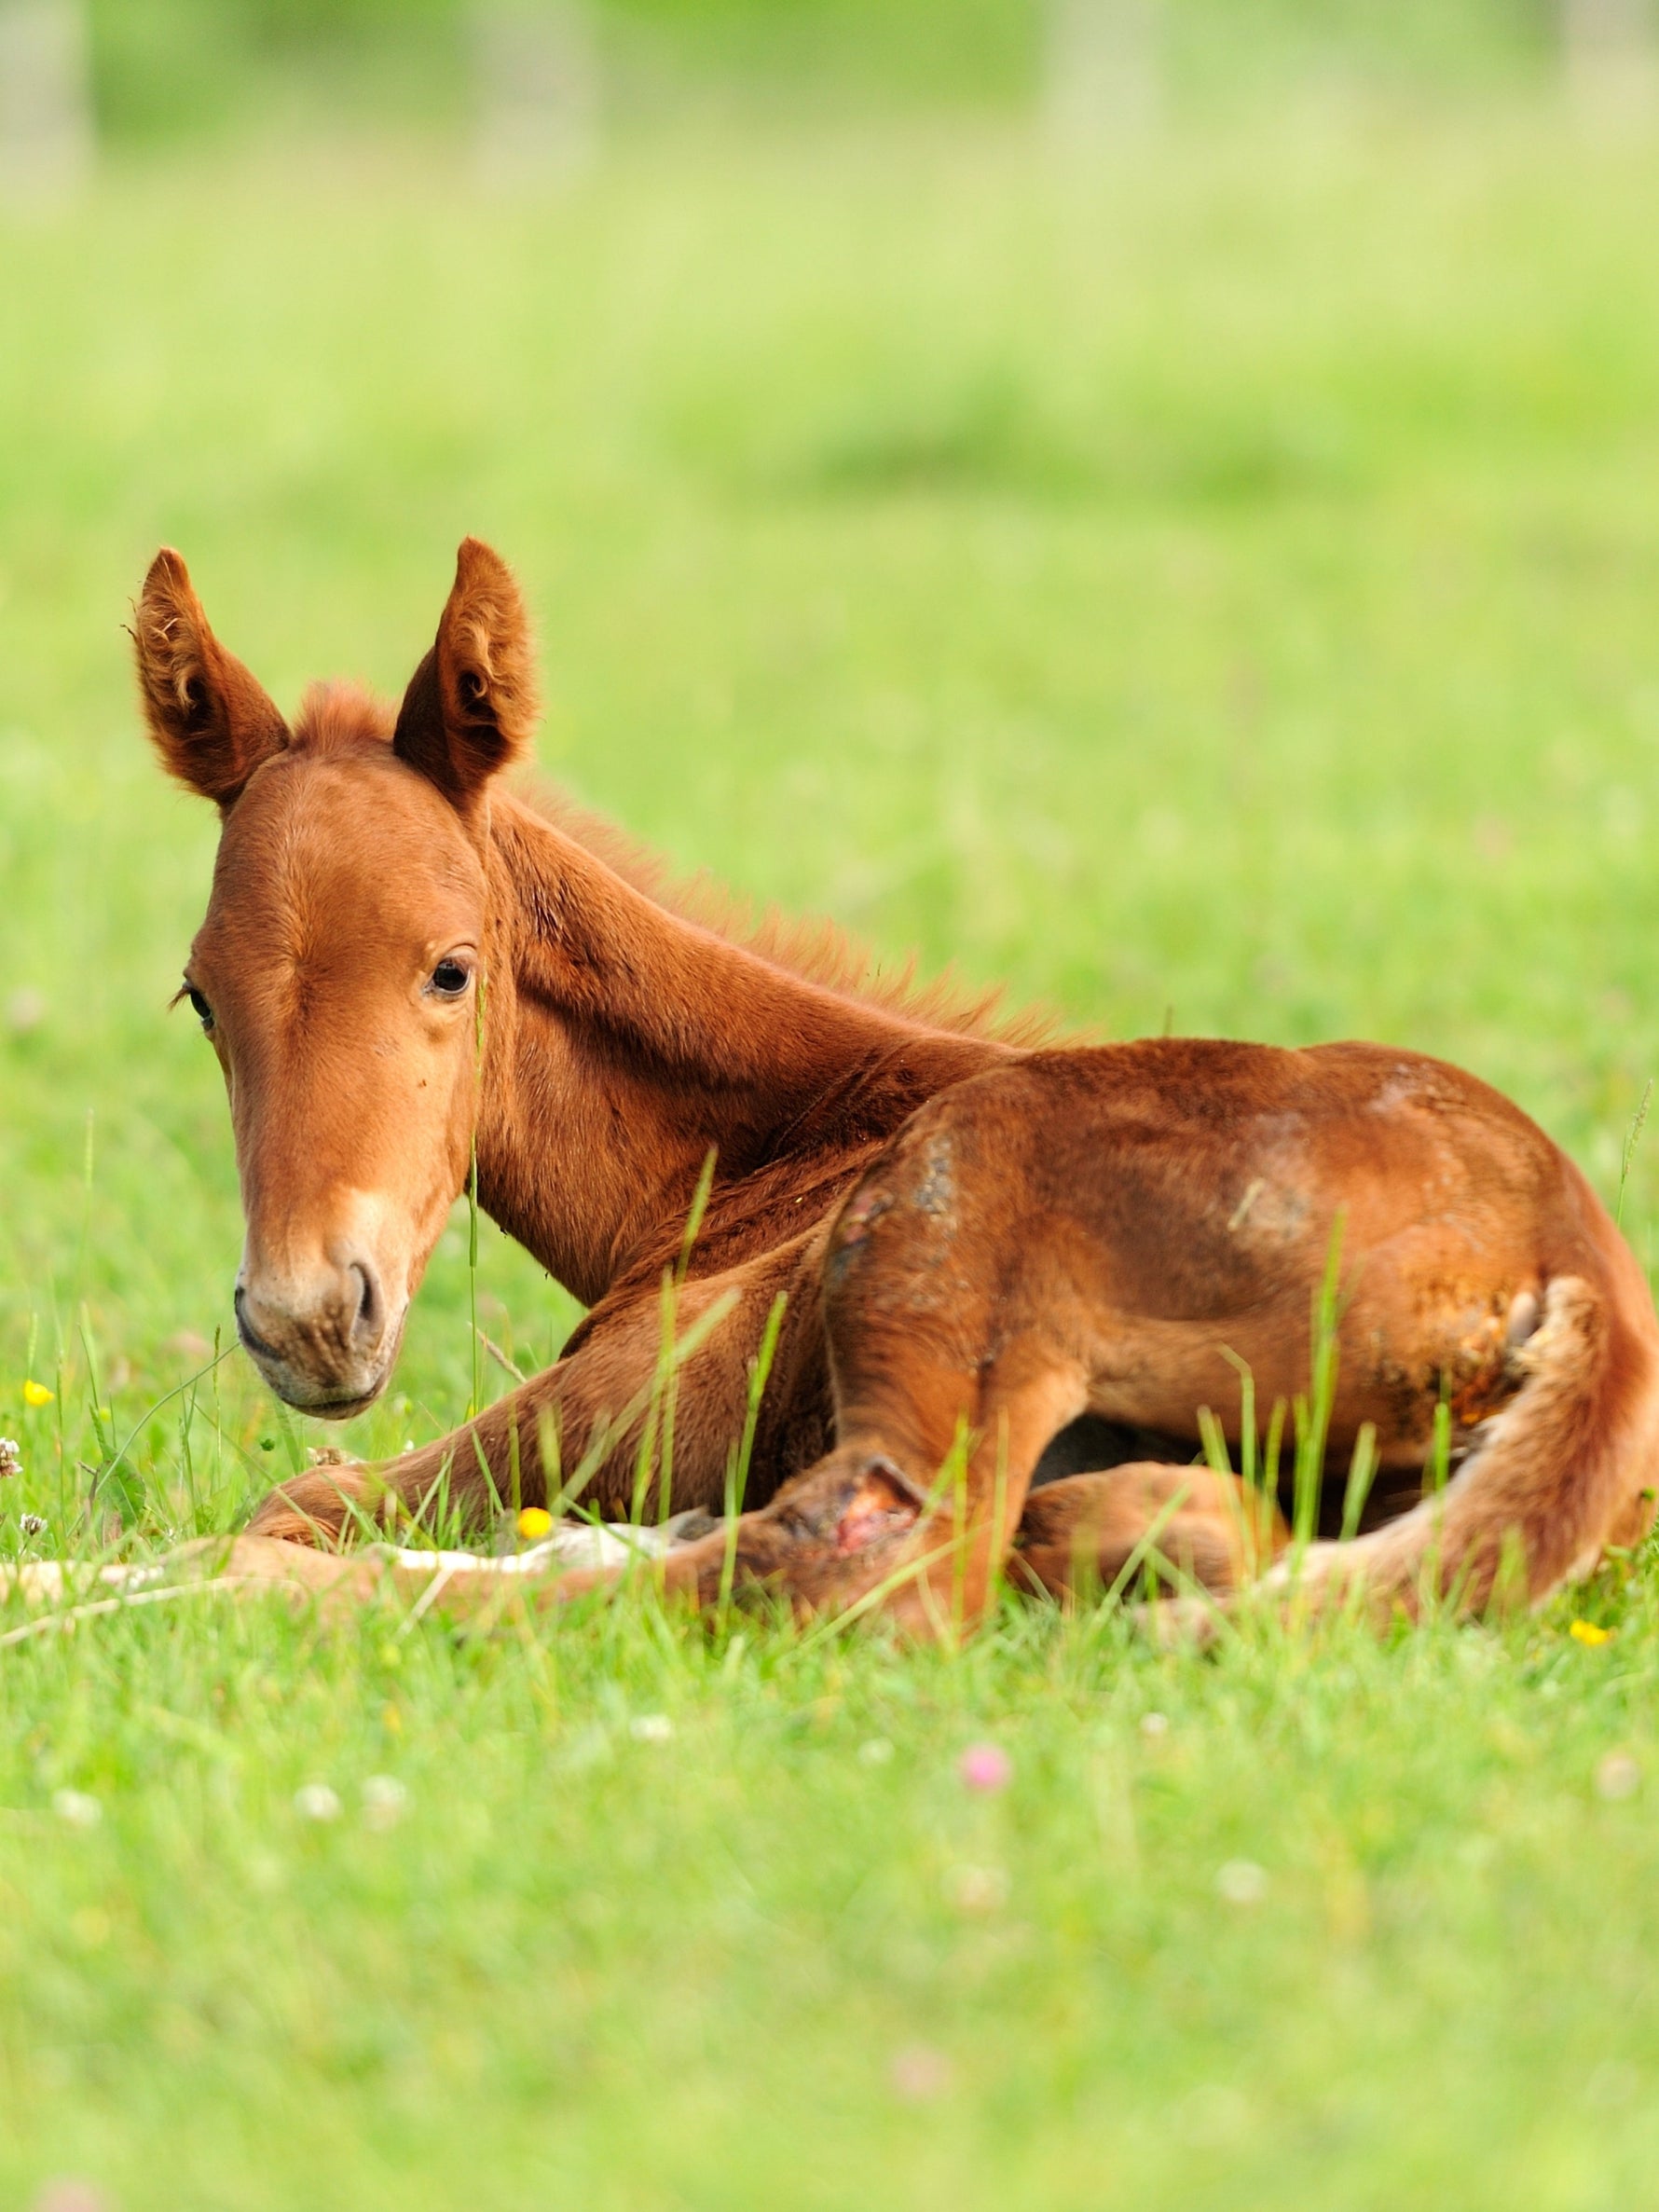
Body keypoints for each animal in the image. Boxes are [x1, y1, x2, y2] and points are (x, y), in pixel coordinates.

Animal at [132, 537, 1659, 1633]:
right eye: (201, 996)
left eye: (450, 969)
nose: (308, 1317)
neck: (776, 1161)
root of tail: (1581, 1271)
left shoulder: (596, 1412)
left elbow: (302, 1494)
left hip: (942, 1284)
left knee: (860, 1563)